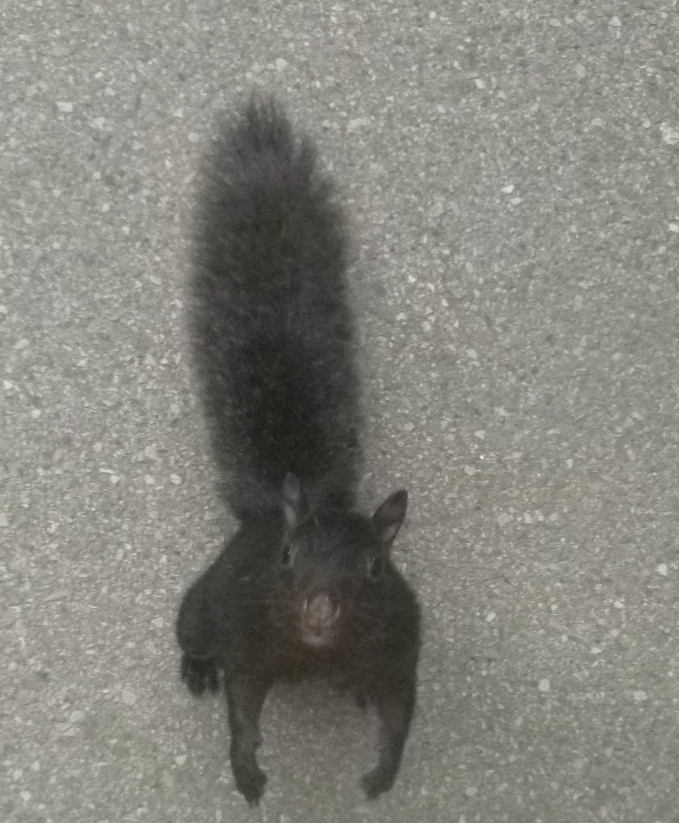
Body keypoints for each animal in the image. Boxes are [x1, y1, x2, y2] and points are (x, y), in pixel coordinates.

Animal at [175, 95, 421, 806]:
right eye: (287, 557)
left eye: (374, 568)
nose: (318, 609)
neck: (317, 655)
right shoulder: (248, 639)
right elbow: (242, 704)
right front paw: (246, 768)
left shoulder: (399, 646)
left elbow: (401, 709)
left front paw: (382, 771)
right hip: (205, 604)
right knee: (192, 633)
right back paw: (195, 666)